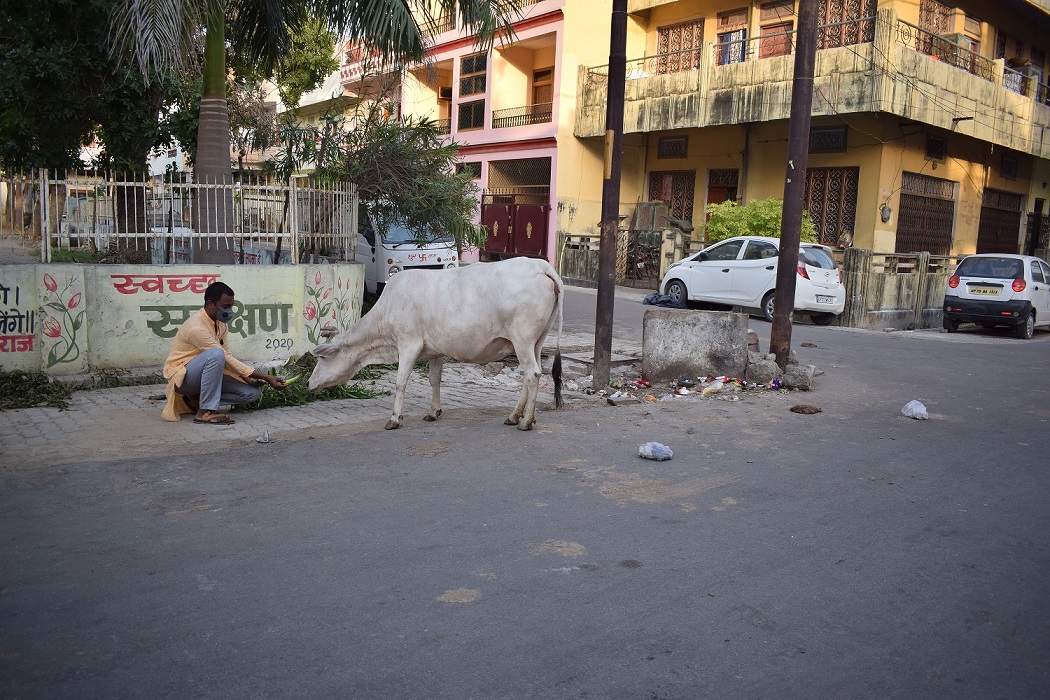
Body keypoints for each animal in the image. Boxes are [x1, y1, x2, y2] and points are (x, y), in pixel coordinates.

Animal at [308, 257, 564, 430]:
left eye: (323, 358)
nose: (309, 383)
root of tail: (541, 266)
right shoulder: (435, 351)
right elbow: (434, 380)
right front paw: (433, 412)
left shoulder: (408, 344)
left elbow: (401, 382)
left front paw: (394, 418)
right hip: (535, 343)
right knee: (531, 375)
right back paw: (514, 416)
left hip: (522, 340)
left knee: (532, 374)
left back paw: (526, 421)